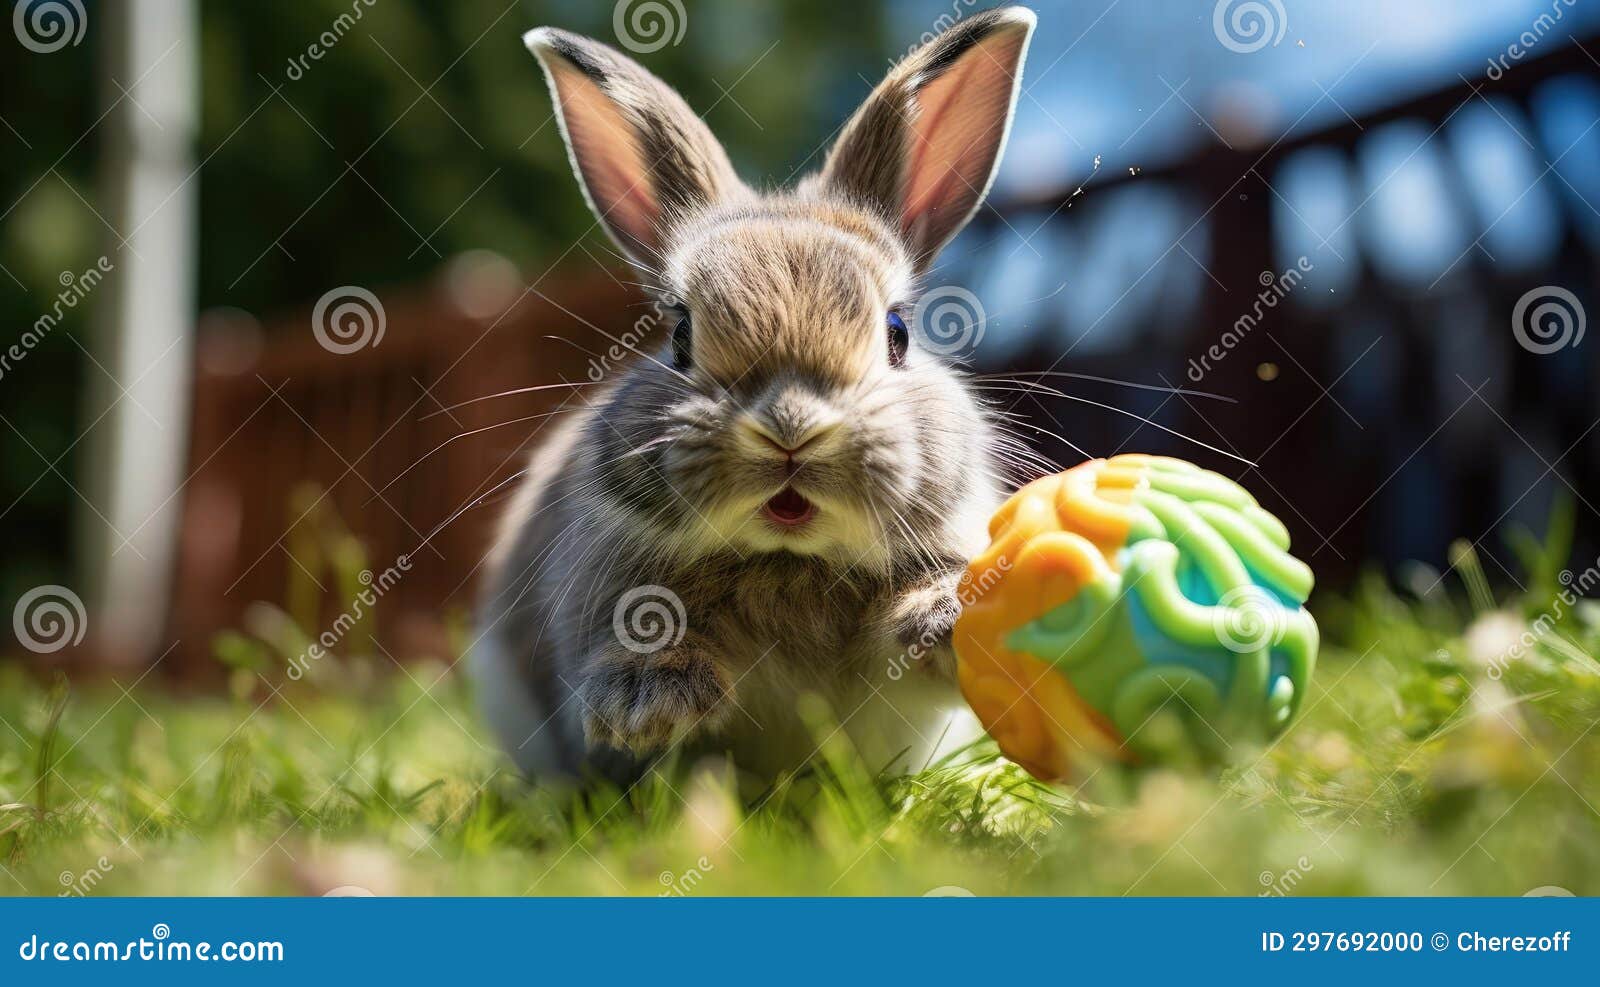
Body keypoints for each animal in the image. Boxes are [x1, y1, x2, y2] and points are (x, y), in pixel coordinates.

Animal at [471, 6, 1037, 785]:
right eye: (679, 335)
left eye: (897, 333)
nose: (790, 427)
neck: (788, 557)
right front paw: (647, 703)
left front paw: (946, 617)